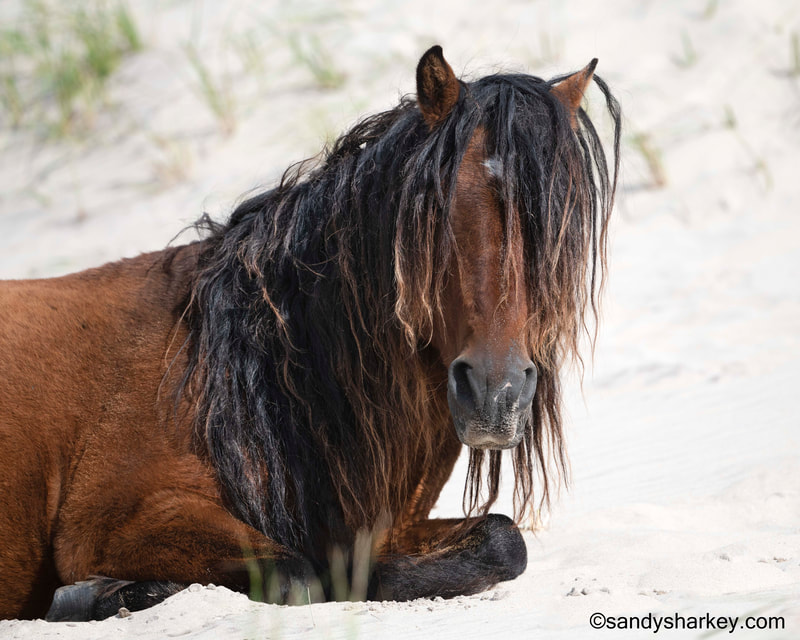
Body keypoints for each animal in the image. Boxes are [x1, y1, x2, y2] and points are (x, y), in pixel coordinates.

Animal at [0, 45, 620, 621]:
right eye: (435, 213)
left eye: (558, 224)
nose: (498, 396)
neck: (240, 379)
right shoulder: (116, 521)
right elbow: (299, 574)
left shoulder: (387, 524)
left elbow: (501, 539)